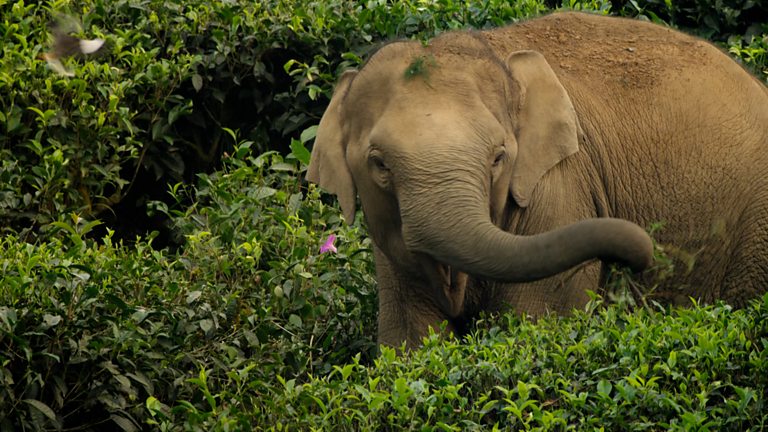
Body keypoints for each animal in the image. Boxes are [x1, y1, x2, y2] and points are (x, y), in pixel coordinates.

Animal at [307, 11, 768, 348]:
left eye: (499, 157)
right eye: (379, 164)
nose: (644, 255)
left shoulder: (560, 188)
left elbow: (537, 319)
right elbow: (409, 342)